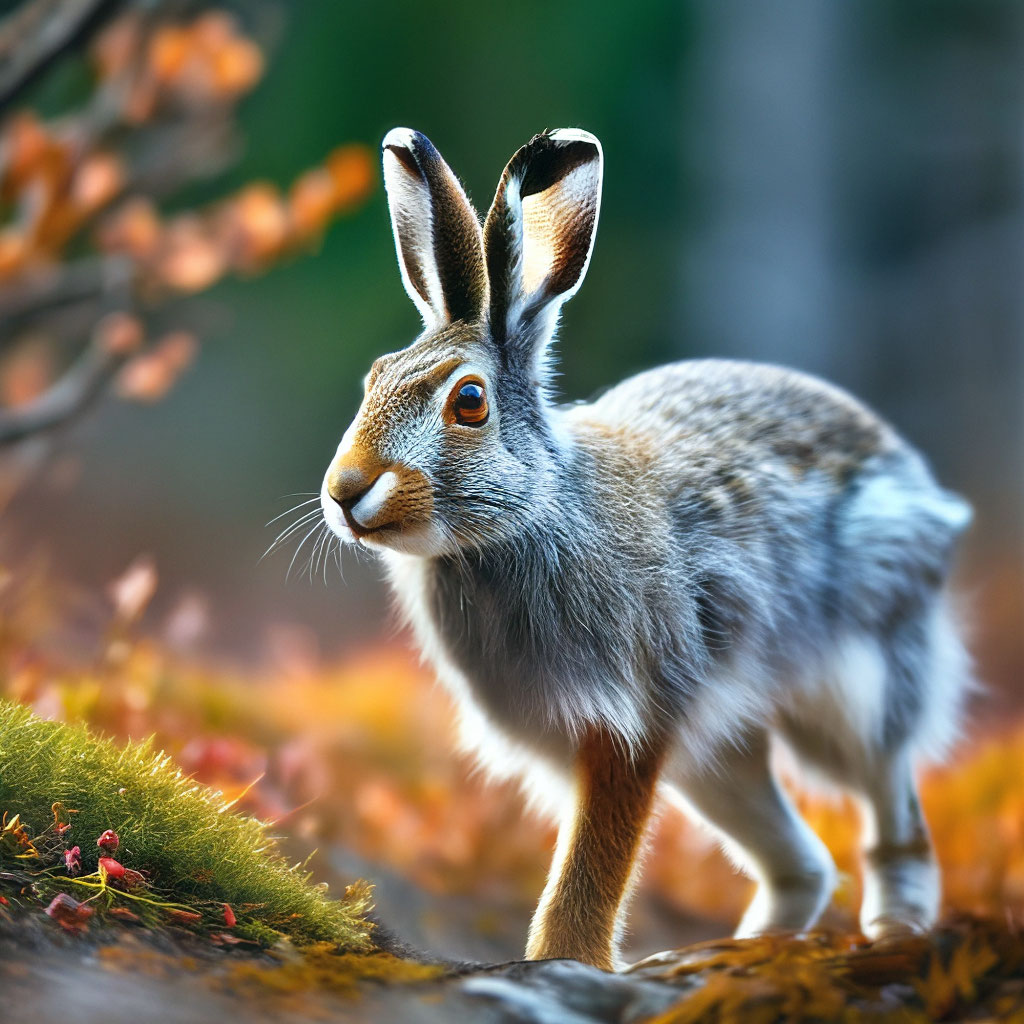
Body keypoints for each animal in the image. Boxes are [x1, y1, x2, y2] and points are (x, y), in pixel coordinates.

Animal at [319, 126, 973, 971]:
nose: (346, 490)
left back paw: (895, 930)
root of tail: (919, 483)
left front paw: (567, 960)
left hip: (861, 683)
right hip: (720, 755)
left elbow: (594, 862)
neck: (536, 511)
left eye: (468, 402)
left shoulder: (631, 720)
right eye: (374, 378)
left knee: (890, 792)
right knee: (802, 859)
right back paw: (736, 950)